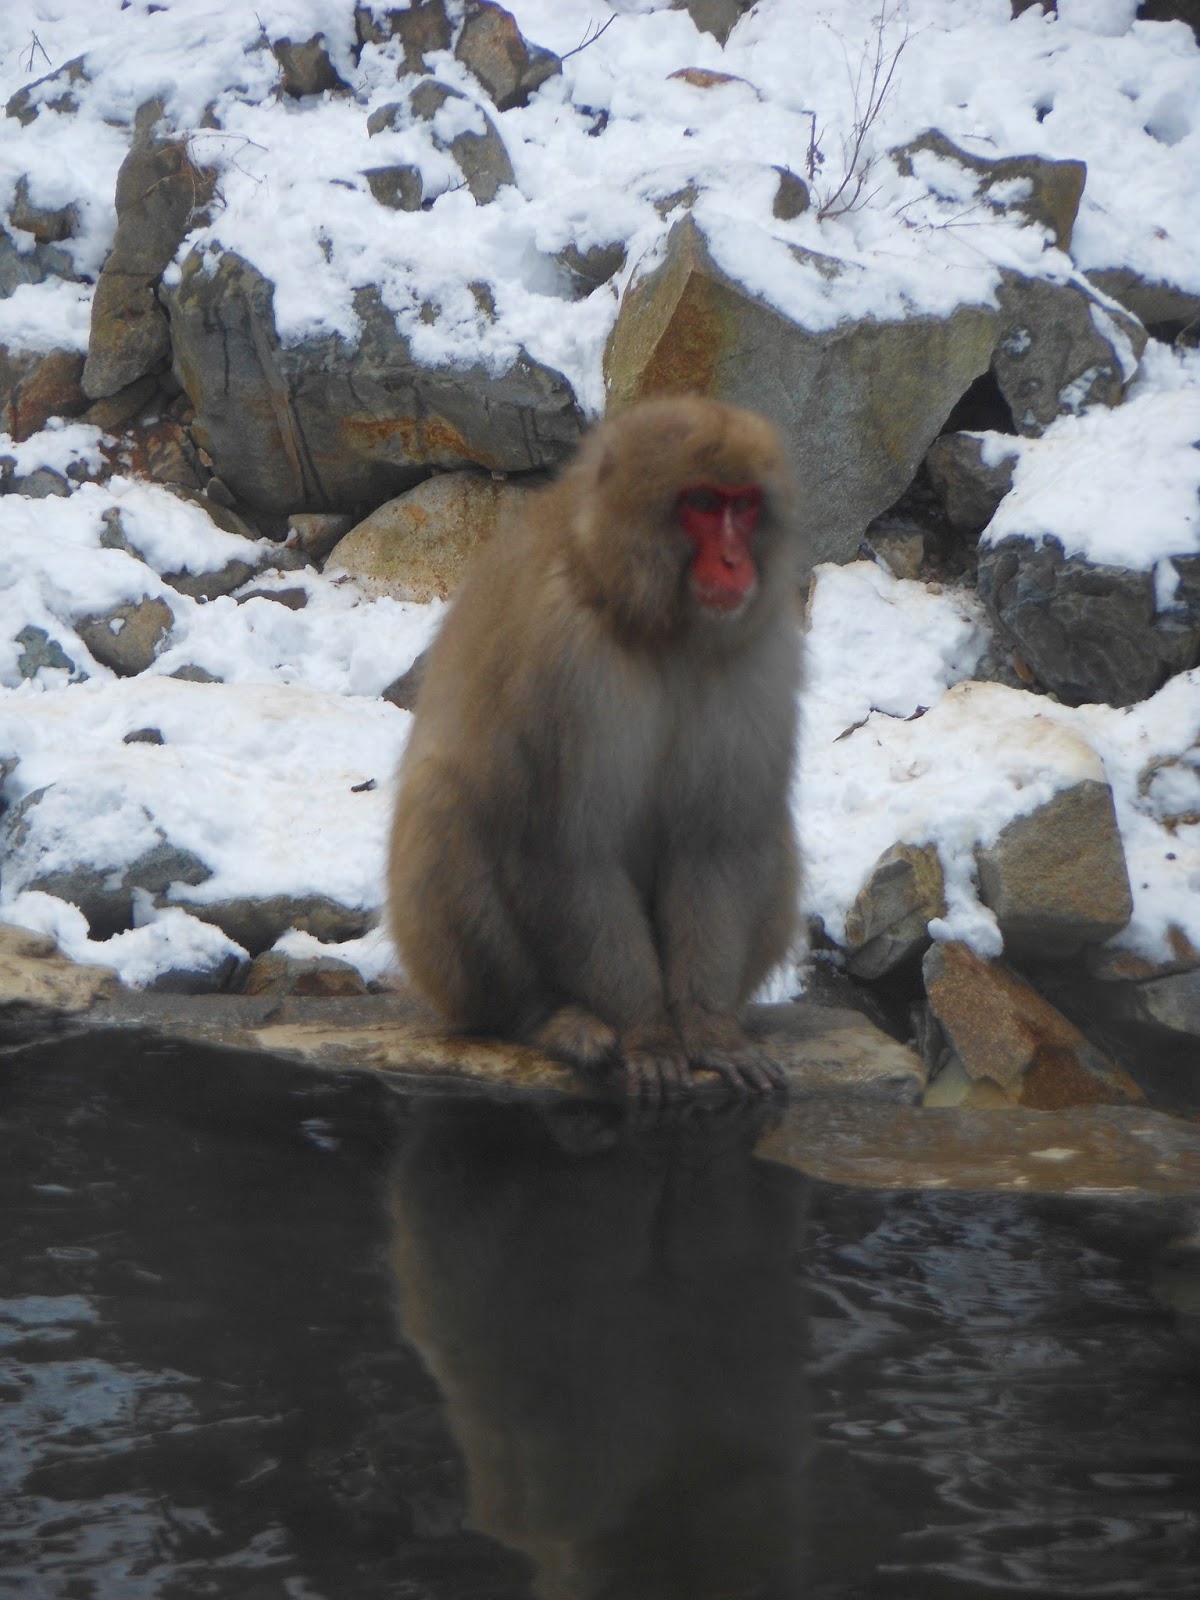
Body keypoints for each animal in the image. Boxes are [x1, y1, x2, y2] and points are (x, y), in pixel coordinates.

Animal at [387, 395, 805, 1104]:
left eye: (744, 505)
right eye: (701, 502)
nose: (733, 562)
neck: (654, 623)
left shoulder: (758, 651)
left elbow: (717, 844)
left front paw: (708, 1030)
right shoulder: (559, 656)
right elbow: (562, 851)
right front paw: (649, 1032)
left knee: (766, 826)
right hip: (447, 979)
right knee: (446, 799)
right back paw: (546, 1017)